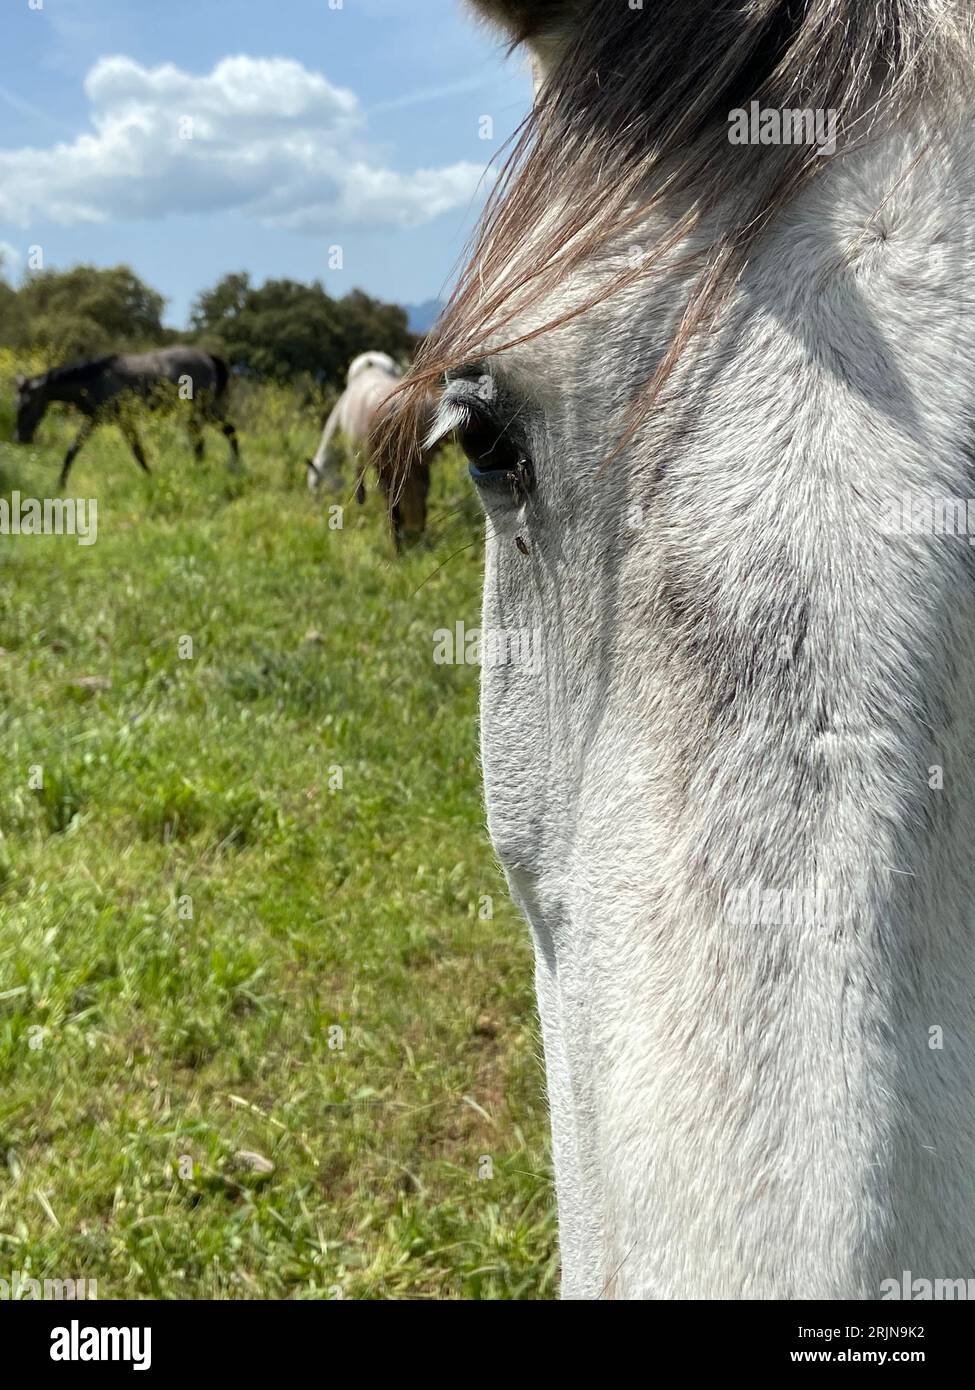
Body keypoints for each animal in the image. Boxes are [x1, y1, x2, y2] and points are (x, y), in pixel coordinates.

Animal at [13, 346, 241, 487]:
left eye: (25, 406)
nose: (20, 439)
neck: (94, 379)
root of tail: (207, 357)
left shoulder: (118, 420)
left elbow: (137, 452)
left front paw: (151, 477)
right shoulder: (97, 420)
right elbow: (73, 450)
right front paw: (60, 485)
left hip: (200, 409)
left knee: (217, 436)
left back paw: (231, 467)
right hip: (200, 412)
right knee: (209, 439)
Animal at [307, 351, 438, 546]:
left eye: (315, 483)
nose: (316, 506)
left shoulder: (355, 451)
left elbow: (358, 477)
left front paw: (360, 500)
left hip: (385, 462)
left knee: (391, 499)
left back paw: (397, 541)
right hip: (419, 459)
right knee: (421, 491)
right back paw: (419, 533)